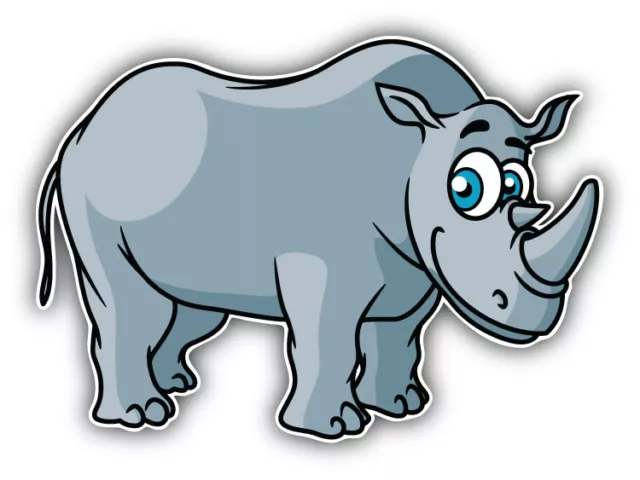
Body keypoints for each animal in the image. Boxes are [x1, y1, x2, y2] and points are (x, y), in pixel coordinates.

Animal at [36, 37, 601, 441]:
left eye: (518, 184)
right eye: (465, 189)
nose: (535, 319)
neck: (415, 147)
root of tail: (82, 128)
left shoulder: (417, 266)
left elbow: (397, 336)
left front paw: (402, 407)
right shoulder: (326, 267)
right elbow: (329, 341)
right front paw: (334, 430)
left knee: (191, 307)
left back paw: (175, 386)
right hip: (94, 186)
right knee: (134, 304)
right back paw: (142, 416)